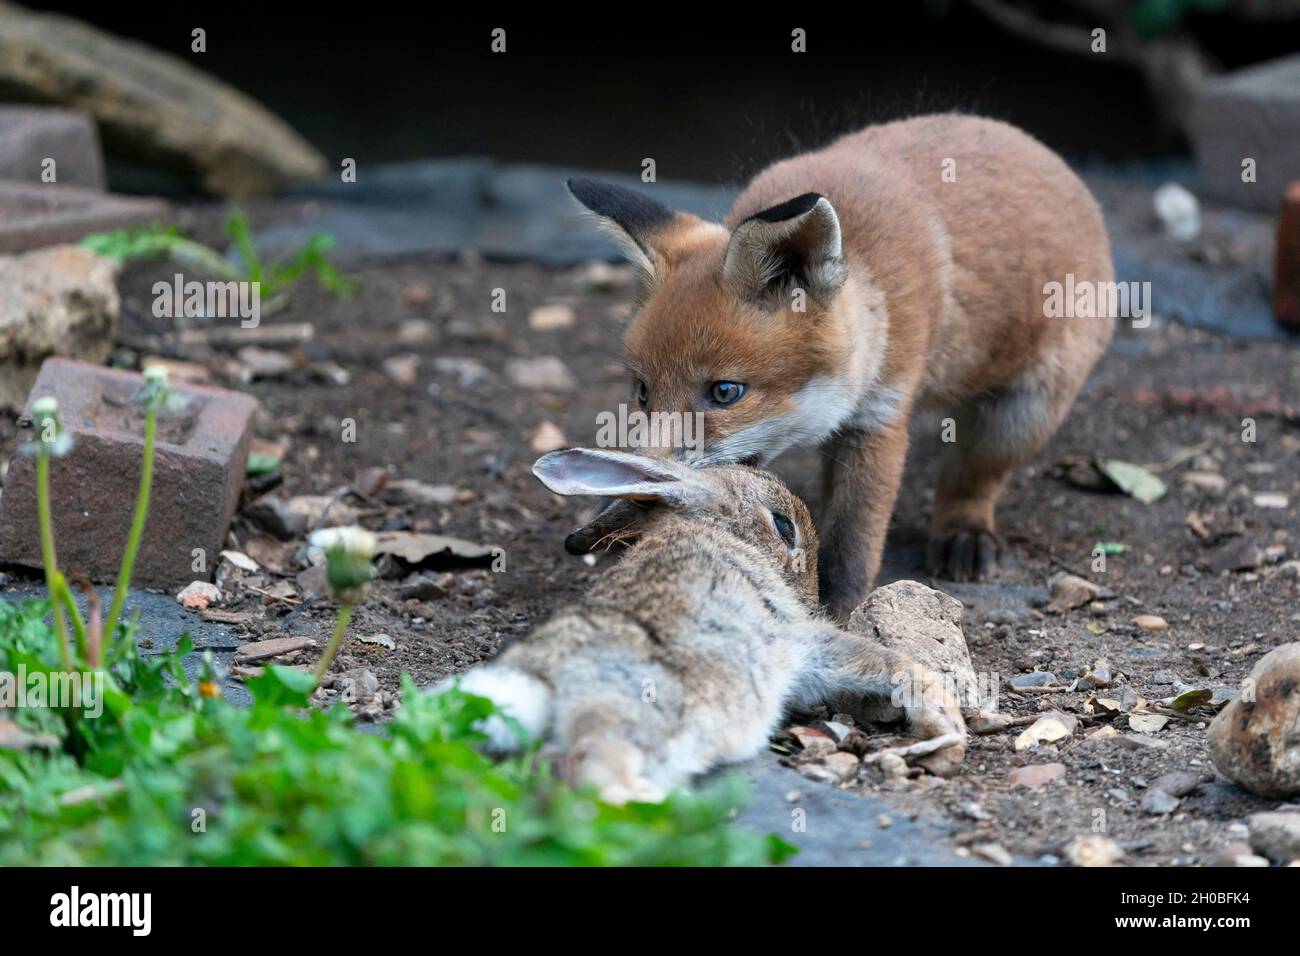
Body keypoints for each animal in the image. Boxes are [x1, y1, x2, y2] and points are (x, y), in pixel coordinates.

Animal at [565, 113, 1114, 620]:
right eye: (642, 392)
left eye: (725, 392)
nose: (642, 491)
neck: (869, 276)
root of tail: (1033, 145)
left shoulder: (878, 416)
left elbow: (854, 536)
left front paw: (836, 606)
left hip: (1025, 412)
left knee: (973, 477)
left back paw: (966, 529)